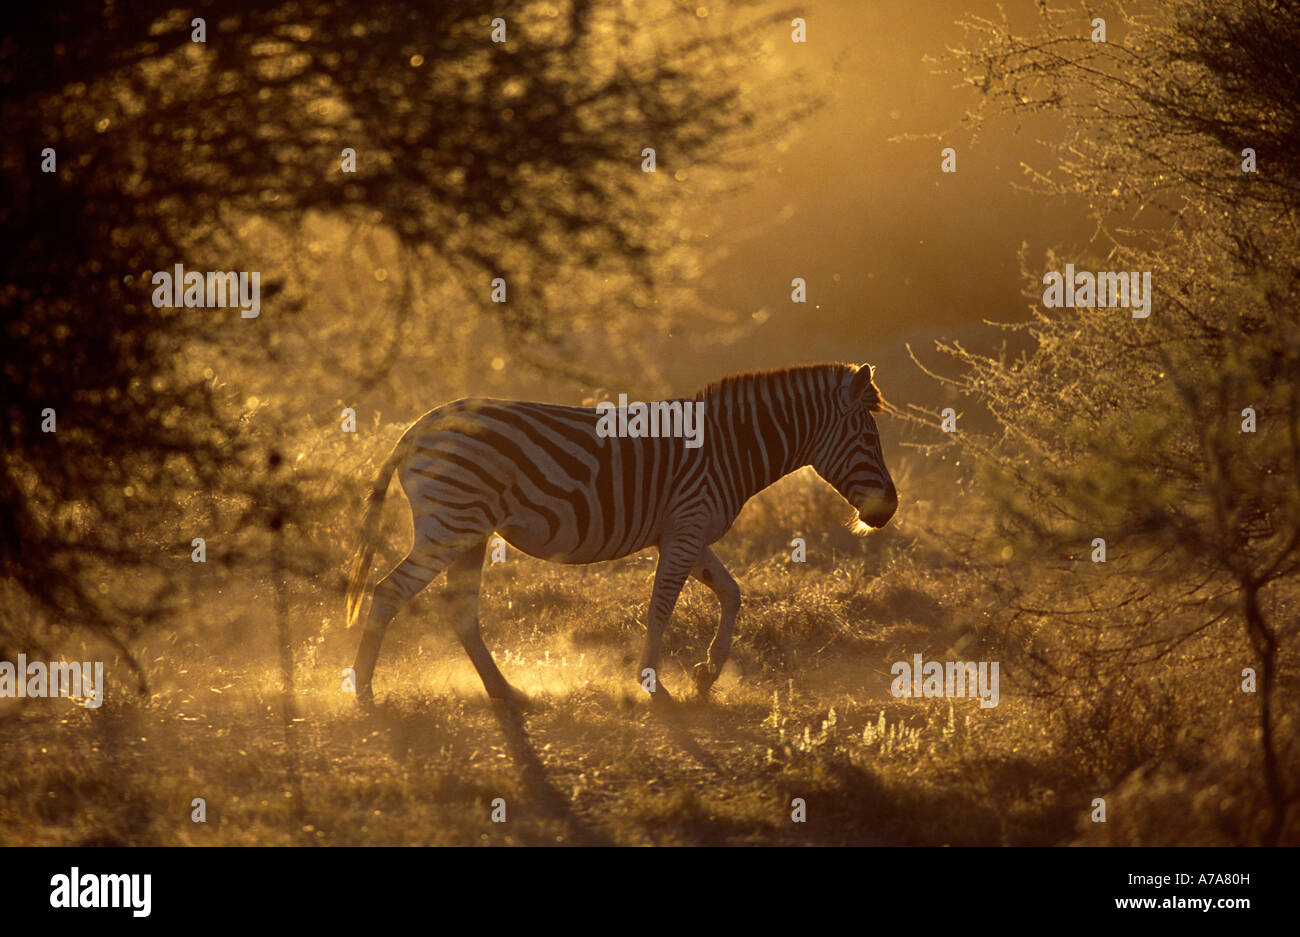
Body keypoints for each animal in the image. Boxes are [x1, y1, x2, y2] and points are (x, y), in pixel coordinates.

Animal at [345, 362, 897, 708]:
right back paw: (365, 693)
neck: (727, 448)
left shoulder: (688, 533)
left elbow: (733, 593)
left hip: (469, 532)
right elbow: (661, 608)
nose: (889, 510)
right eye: (869, 437)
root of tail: (416, 427)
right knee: (389, 591)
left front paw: (707, 673)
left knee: (460, 611)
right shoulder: (686, 527)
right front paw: (655, 687)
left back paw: (507, 694)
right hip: (450, 525)